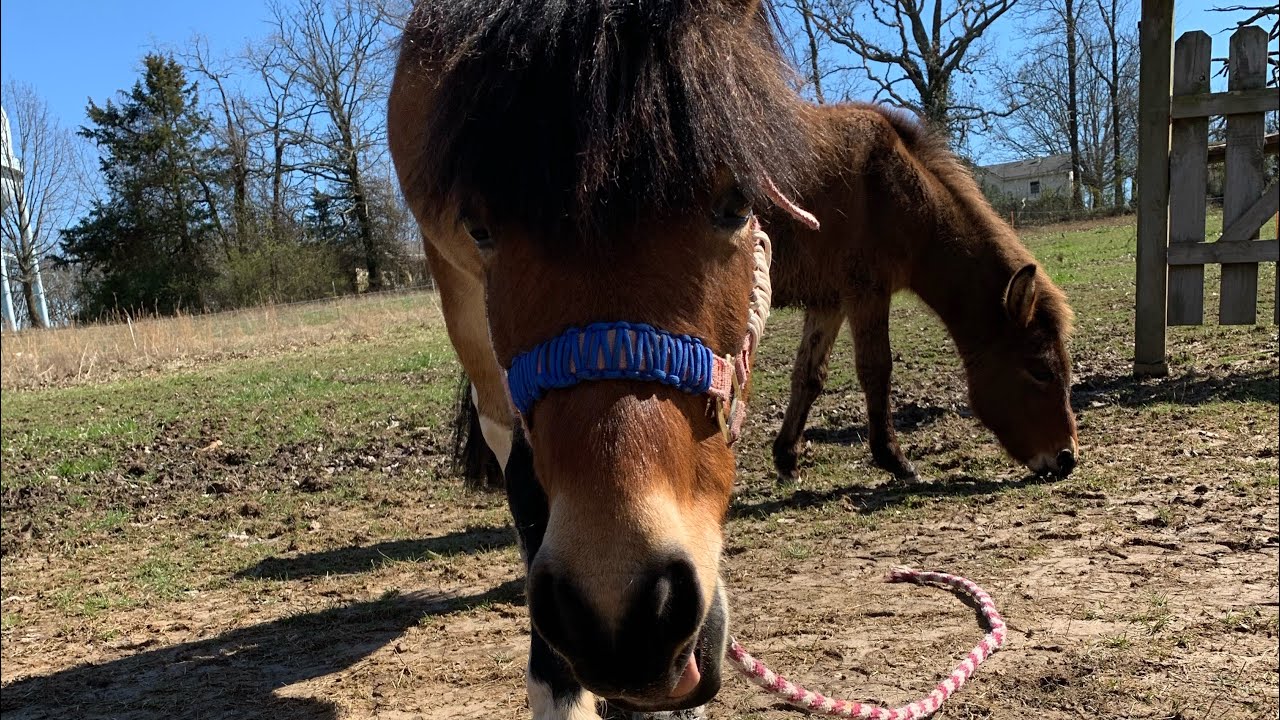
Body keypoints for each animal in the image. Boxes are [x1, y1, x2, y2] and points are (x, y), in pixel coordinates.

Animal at [767, 102, 1078, 483]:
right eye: (1041, 371)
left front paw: (787, 458)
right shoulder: (867, 293)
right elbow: (876, 369)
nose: (1066, 458)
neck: (894, 189)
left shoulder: (829, 301)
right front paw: (894, 459)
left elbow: (810, 376)